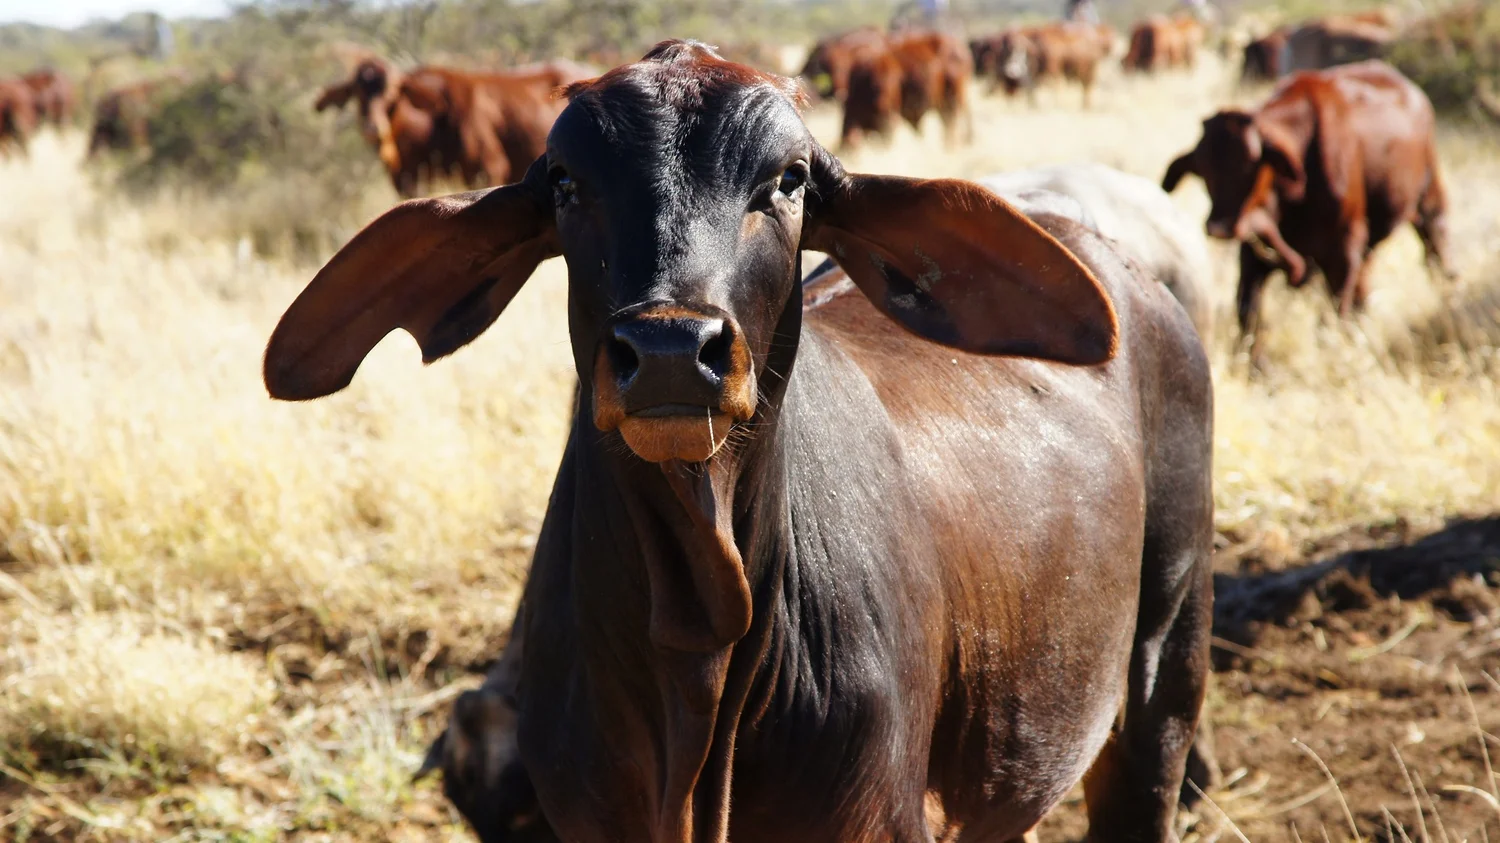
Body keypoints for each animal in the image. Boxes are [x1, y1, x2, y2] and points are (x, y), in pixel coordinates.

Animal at [1163, 60, 1453, 366]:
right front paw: (1258, 365)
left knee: (1436, 248)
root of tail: (1413, 93)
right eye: (1203, 168)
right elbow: (1248, 315)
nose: (1221, 227)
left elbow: (1332, 315)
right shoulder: (1252, 256)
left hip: (1429, 200)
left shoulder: (1343, 252)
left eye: (1251, 163)